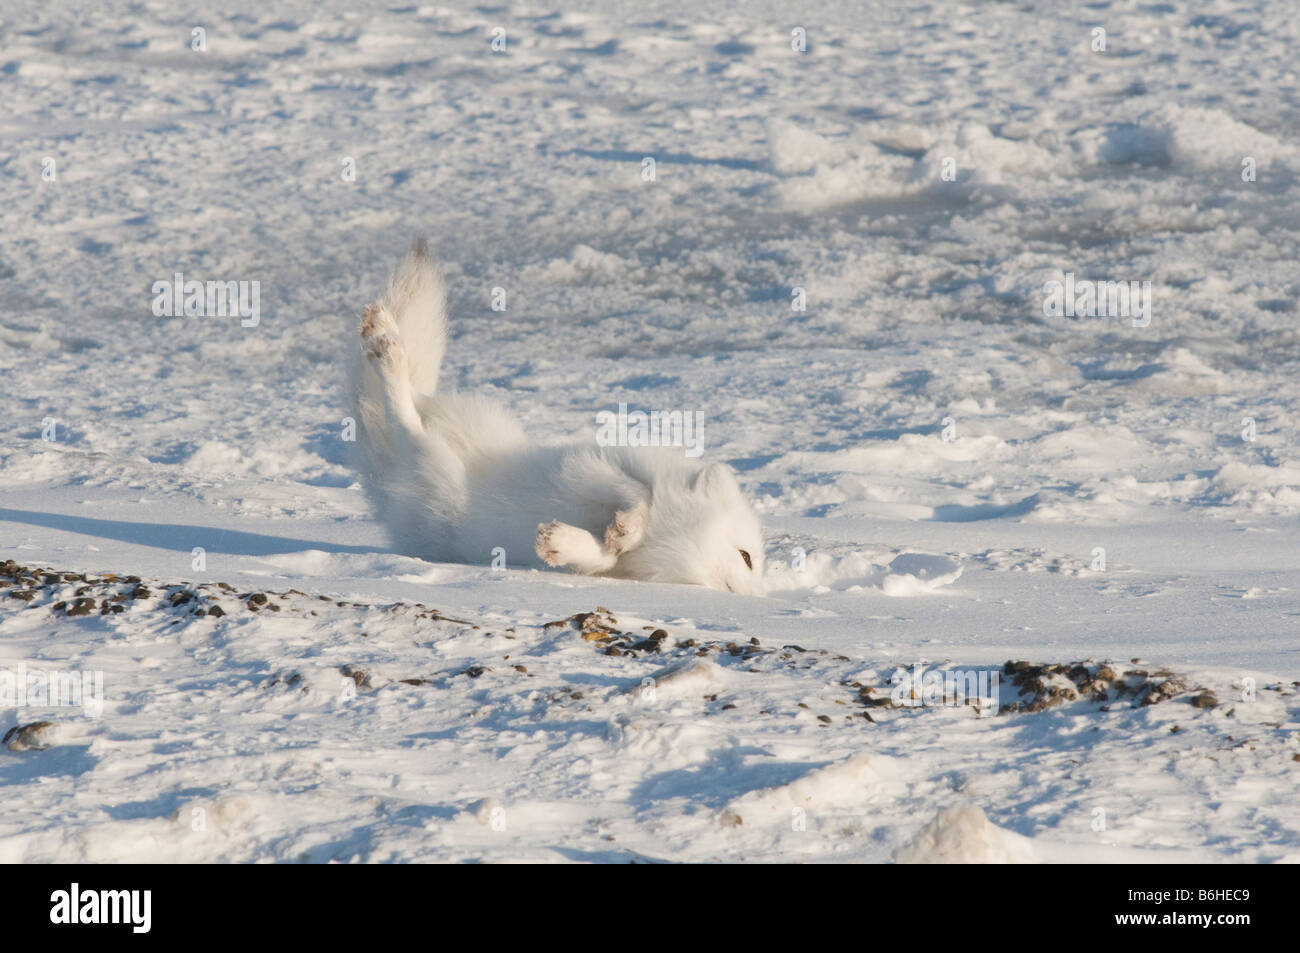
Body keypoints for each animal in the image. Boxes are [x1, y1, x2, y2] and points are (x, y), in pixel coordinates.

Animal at [347, 240, 766, 594]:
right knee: (403, 412)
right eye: (746, 557)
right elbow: (639, 495)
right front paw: (625, 529)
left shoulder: (619, 566)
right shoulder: (590, 466)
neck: (662, 540)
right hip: (435, 459)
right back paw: (386, 343)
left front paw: (560, 542)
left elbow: (602, 558)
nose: (753, 597)